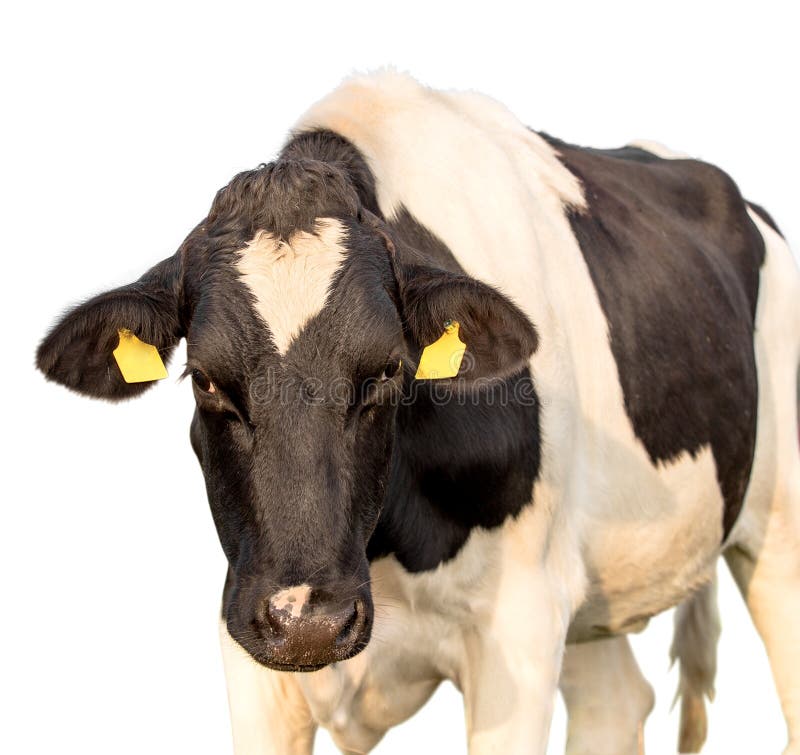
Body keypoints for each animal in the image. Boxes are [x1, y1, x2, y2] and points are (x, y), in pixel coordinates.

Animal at [36, 71, 800, 754]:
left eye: (386, 371)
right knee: (614, 704)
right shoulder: (248, 640)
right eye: (205, 381)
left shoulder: (518, 631)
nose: (308, 623)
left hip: (776, 538)